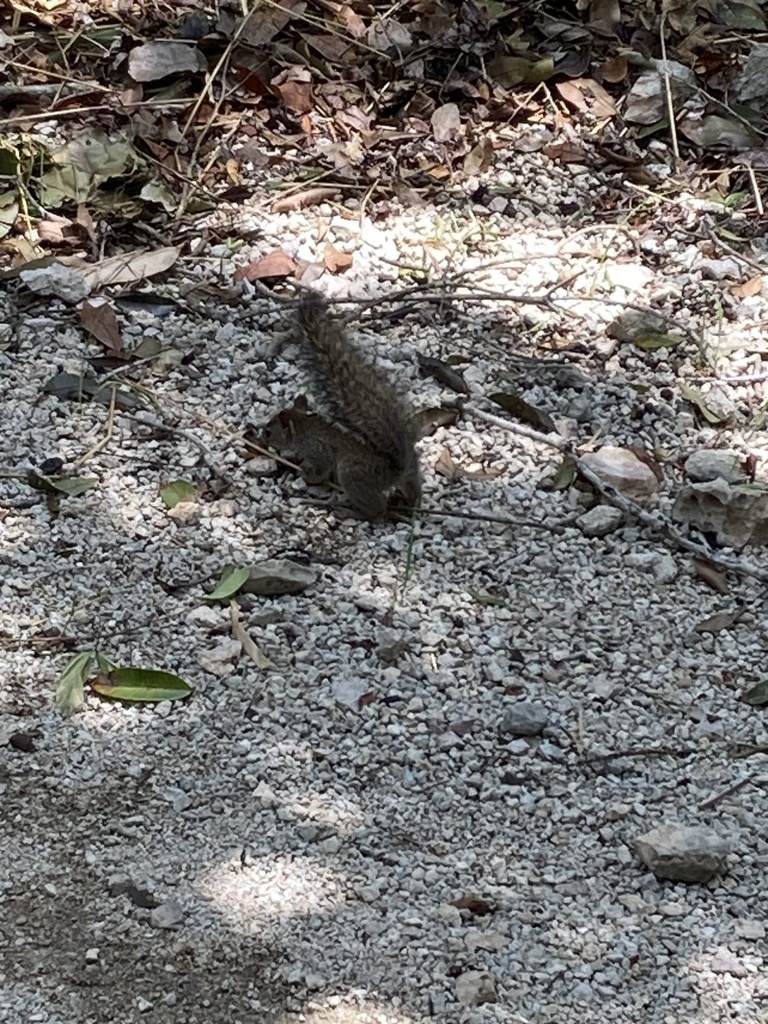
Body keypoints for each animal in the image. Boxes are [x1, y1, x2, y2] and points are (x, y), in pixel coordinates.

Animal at [263, 292, 421, 520]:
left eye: (269, 432)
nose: (261, 437)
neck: (303, 425)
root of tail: (393, 471)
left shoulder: (319, 452)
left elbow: (320, 470)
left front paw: (306, 474)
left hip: (351, 472)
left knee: (377, 511)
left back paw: (350, 512)